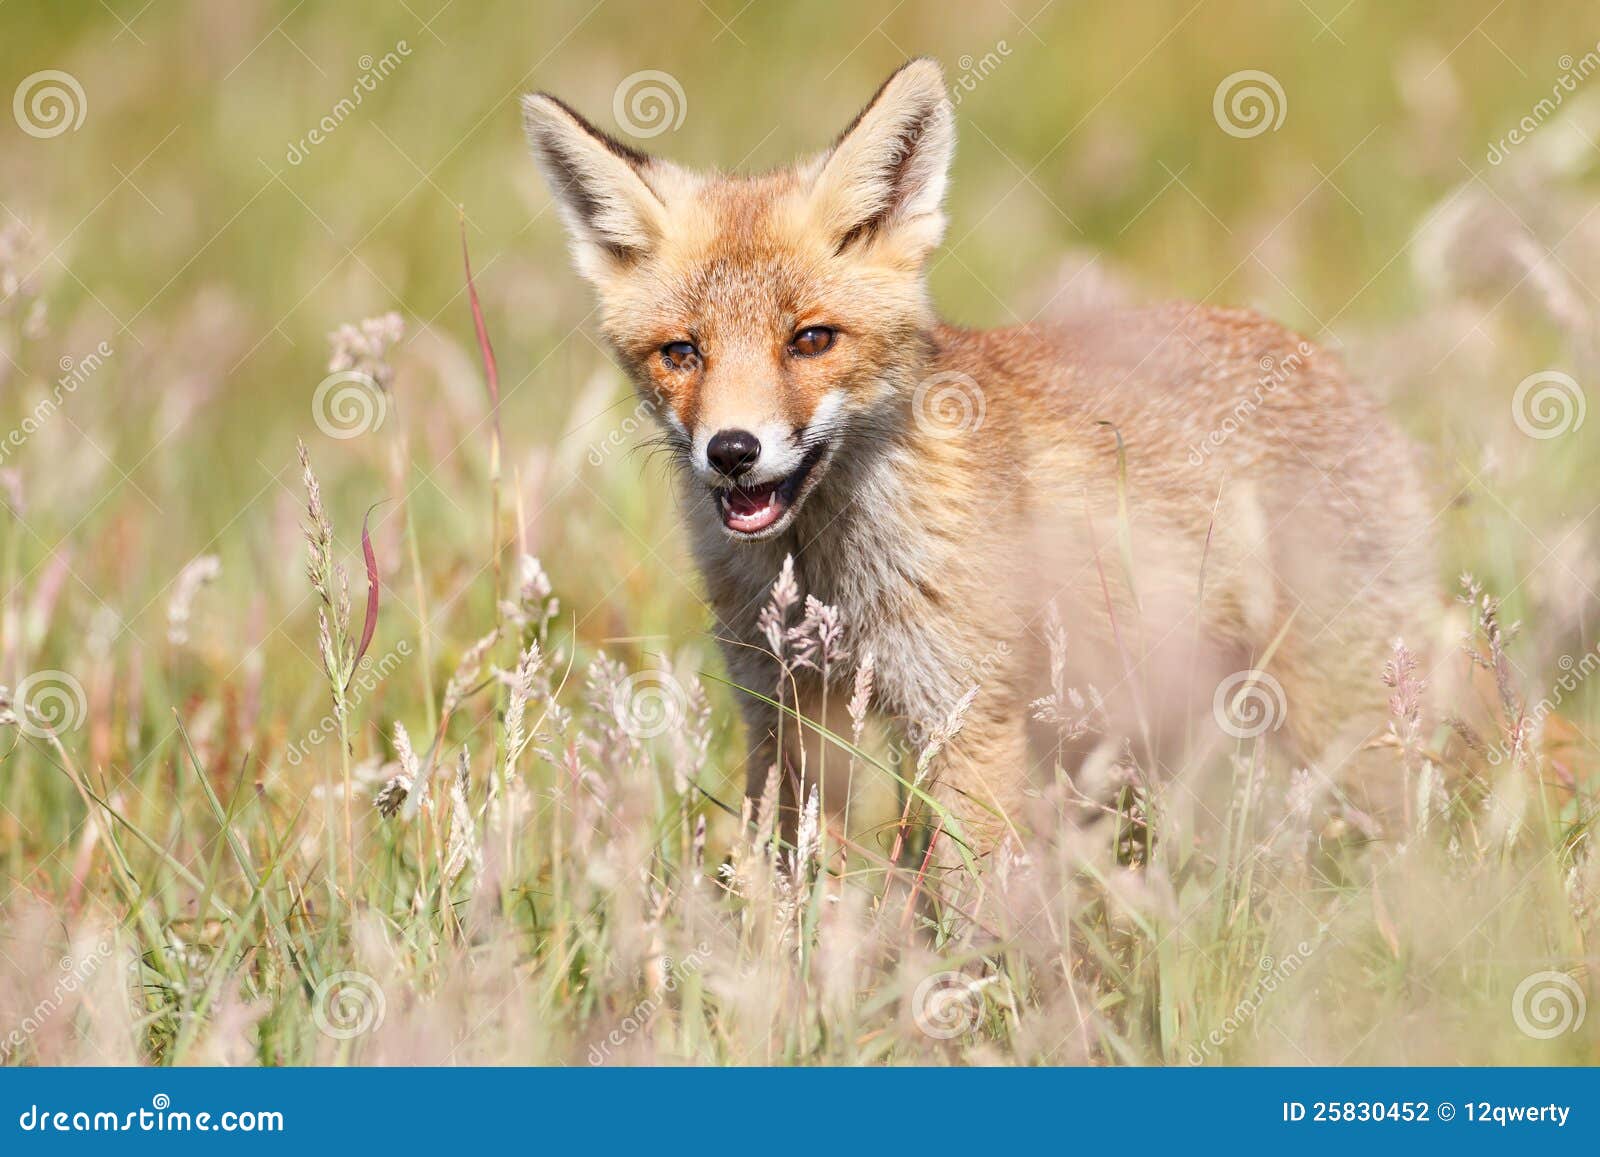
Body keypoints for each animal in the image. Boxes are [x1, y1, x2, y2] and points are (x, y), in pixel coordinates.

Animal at [521, 59, 1436, 858]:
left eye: (811, 339)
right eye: (683, 353)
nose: (733, 451)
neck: (828, 571)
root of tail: (1322, 359)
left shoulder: (969, 715)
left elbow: (974, 905)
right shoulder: (788, 718)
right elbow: (787, 883)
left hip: (1341, 715)